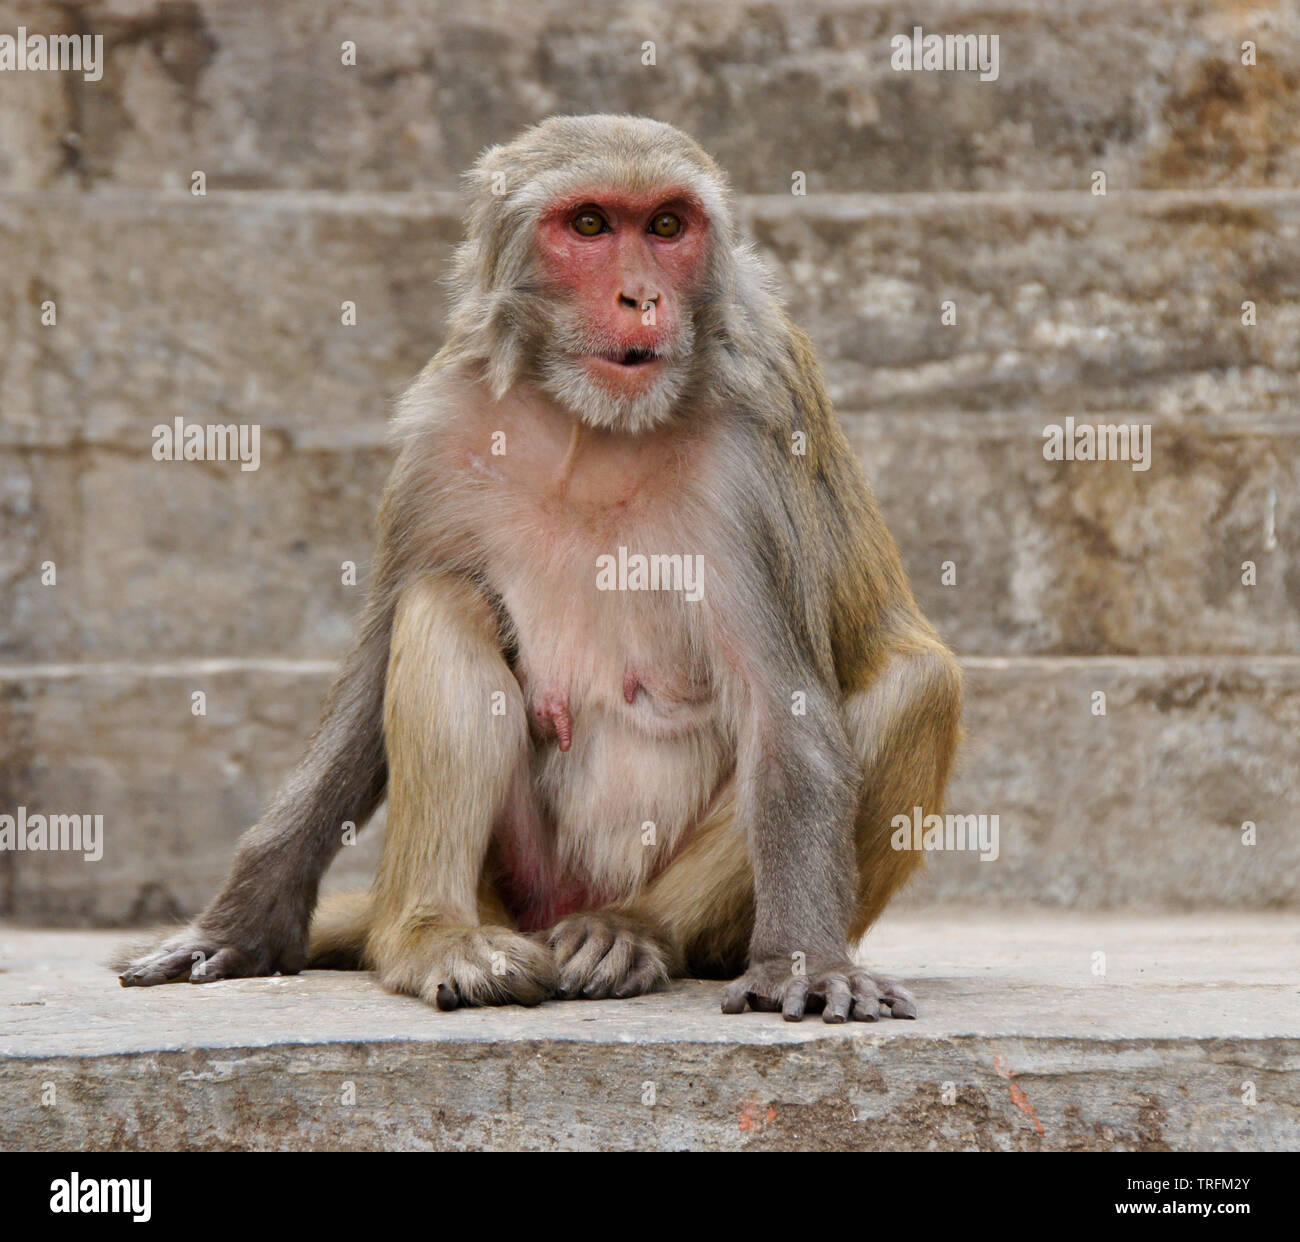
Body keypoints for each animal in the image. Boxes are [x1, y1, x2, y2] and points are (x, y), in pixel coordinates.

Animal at [118, 115, 962, 1023]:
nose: (642, 298)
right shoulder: (442, 430)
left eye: (667, 226)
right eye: (590, 225)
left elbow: (786, 716)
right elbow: (370, 679)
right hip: (516, 876)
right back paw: (428, 937)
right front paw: (243, 919)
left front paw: (805, 961)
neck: (587, 429)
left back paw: (633, 930)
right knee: (441, 601)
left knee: (921, 684)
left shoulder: (752, 456)